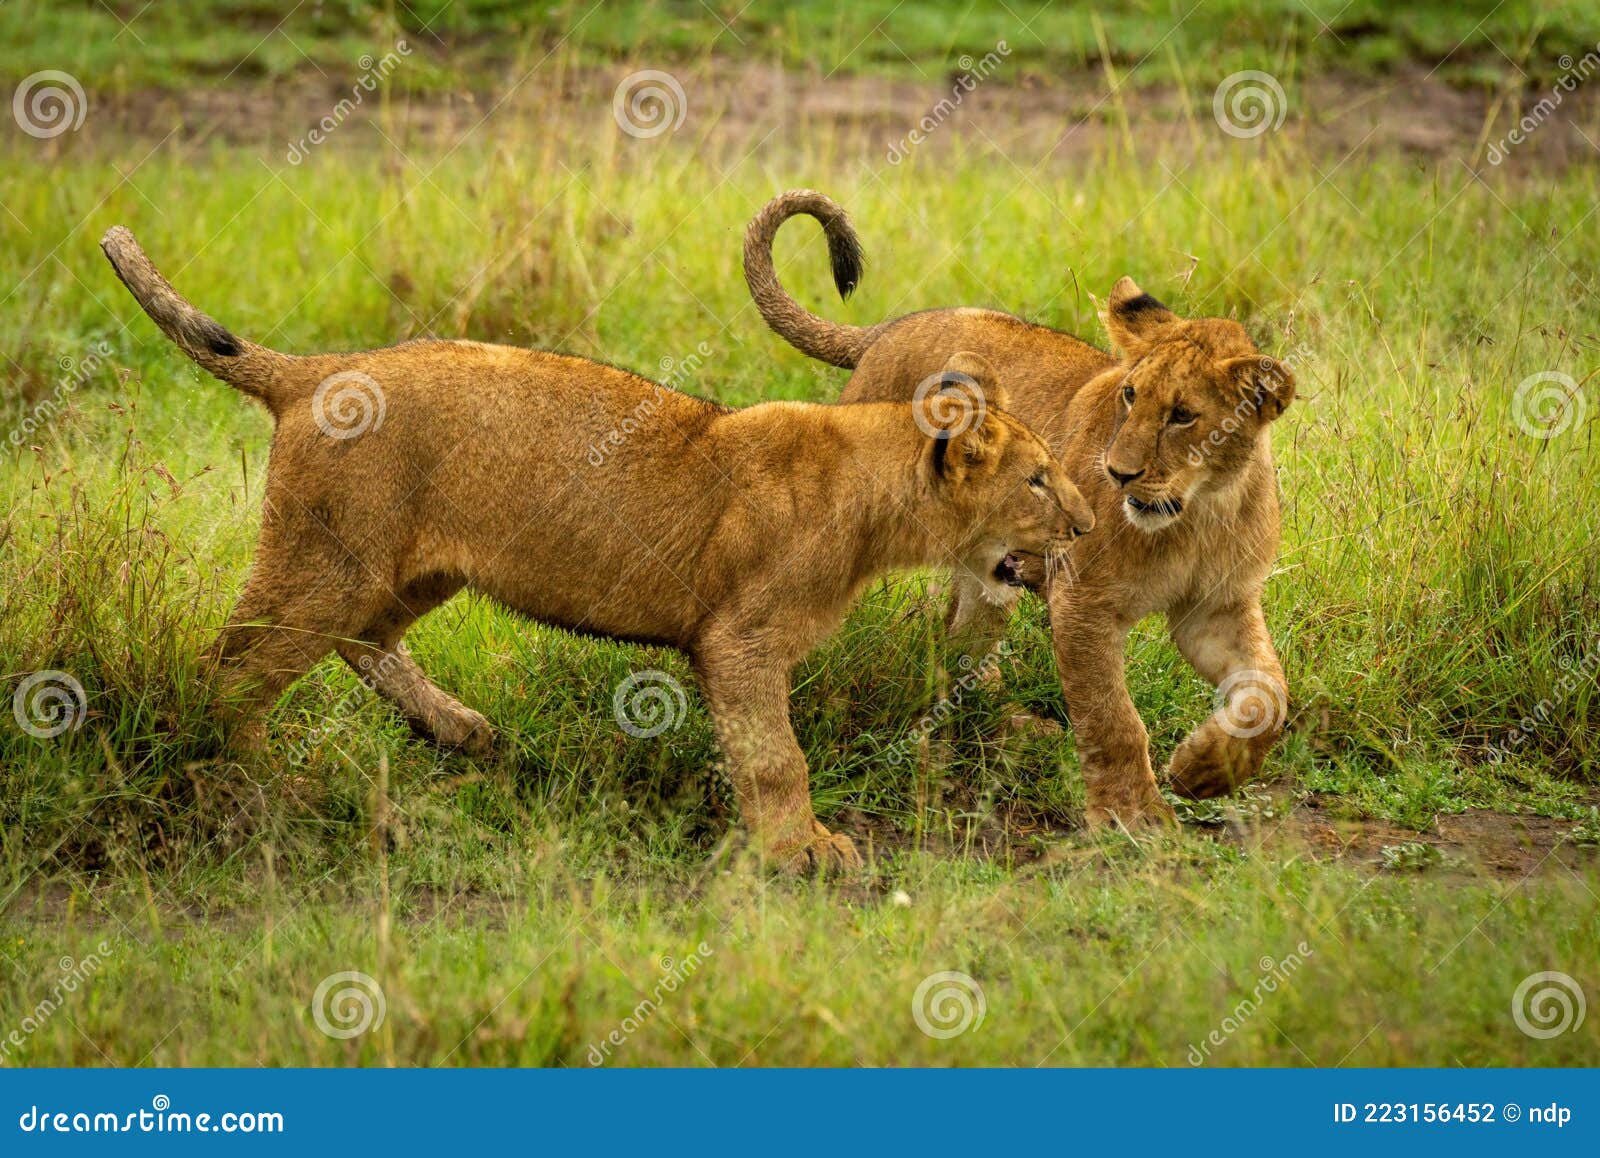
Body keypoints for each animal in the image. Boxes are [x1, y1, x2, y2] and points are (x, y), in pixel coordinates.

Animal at [101, 225, 1095, 870]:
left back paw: (455, 727)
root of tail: (311, 372)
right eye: (1040, 479)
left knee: (362, 640)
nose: (1089, 524)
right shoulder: (739, 640)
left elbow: (762, 751)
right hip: (322, 563)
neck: (875, 478)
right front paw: (803, 851)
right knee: (229, 670)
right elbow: (777, 755)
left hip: (413, 568)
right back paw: (256, 784)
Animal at [743, 190, 1295, 828]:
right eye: (1130, 395)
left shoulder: (1217, 607)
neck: (1202, 512)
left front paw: (1203, 772)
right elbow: (1112, 718)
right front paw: (1131, 815)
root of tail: (891, 329)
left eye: (1183, 416)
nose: (1117, 472)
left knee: (962, 641)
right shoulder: (1081, 602)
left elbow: (1270, 695)